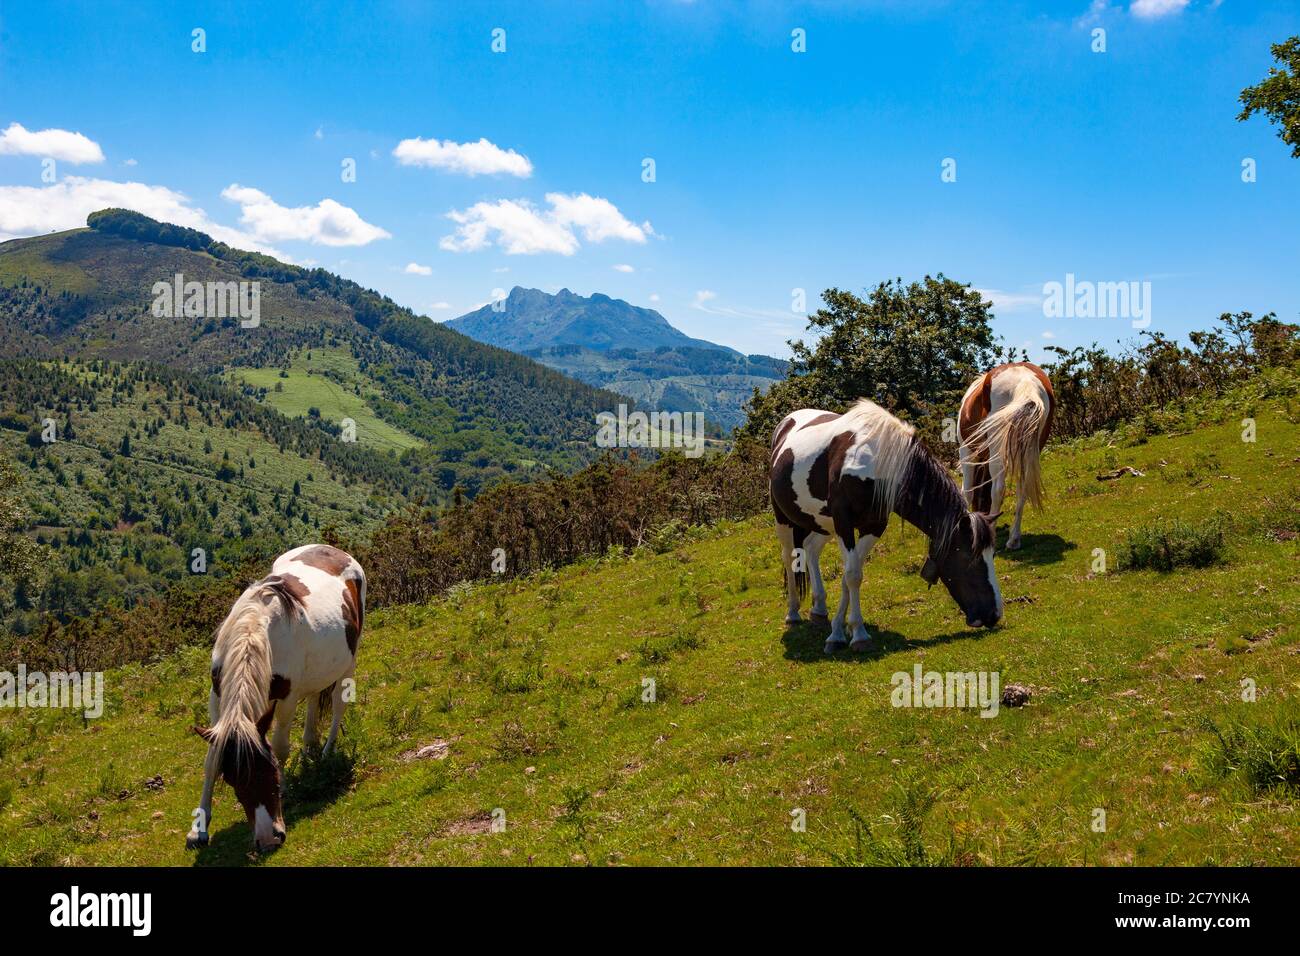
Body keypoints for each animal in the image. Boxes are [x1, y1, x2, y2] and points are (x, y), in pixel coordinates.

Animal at [185, 544, 366, 852]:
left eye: (271, 773)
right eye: (233, 781)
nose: (269, 839)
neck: (255, 630)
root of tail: (332, 549)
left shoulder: (287, 697)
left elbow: (281, 746)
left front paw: (287, 791)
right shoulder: (217, 695)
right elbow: (211, 758)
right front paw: (199, 829)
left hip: (348, 663)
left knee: (338, 706)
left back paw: (325, 754)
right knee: (315, 697)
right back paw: (310, 748)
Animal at [770, 399, 1003, 654]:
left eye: (992, 555)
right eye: (970, 559)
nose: (994, 614)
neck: (876, 462)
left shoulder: (873, 526)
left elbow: (849, 576)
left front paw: (840, 630)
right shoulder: (844, 524)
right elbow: (852, 575)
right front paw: (857, 635)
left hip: (822, 522)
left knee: (811, 549)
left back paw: (819, 609)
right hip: (784, 518)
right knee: (789, 557)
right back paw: (793, 613)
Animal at [958, 362, 1056, 550]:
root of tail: (1026, 380)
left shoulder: (966, 452)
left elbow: (967, 492)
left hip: (997, 451)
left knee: (998, 489)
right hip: (1031, 451)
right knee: (1022, 489)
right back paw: (1014, 539)